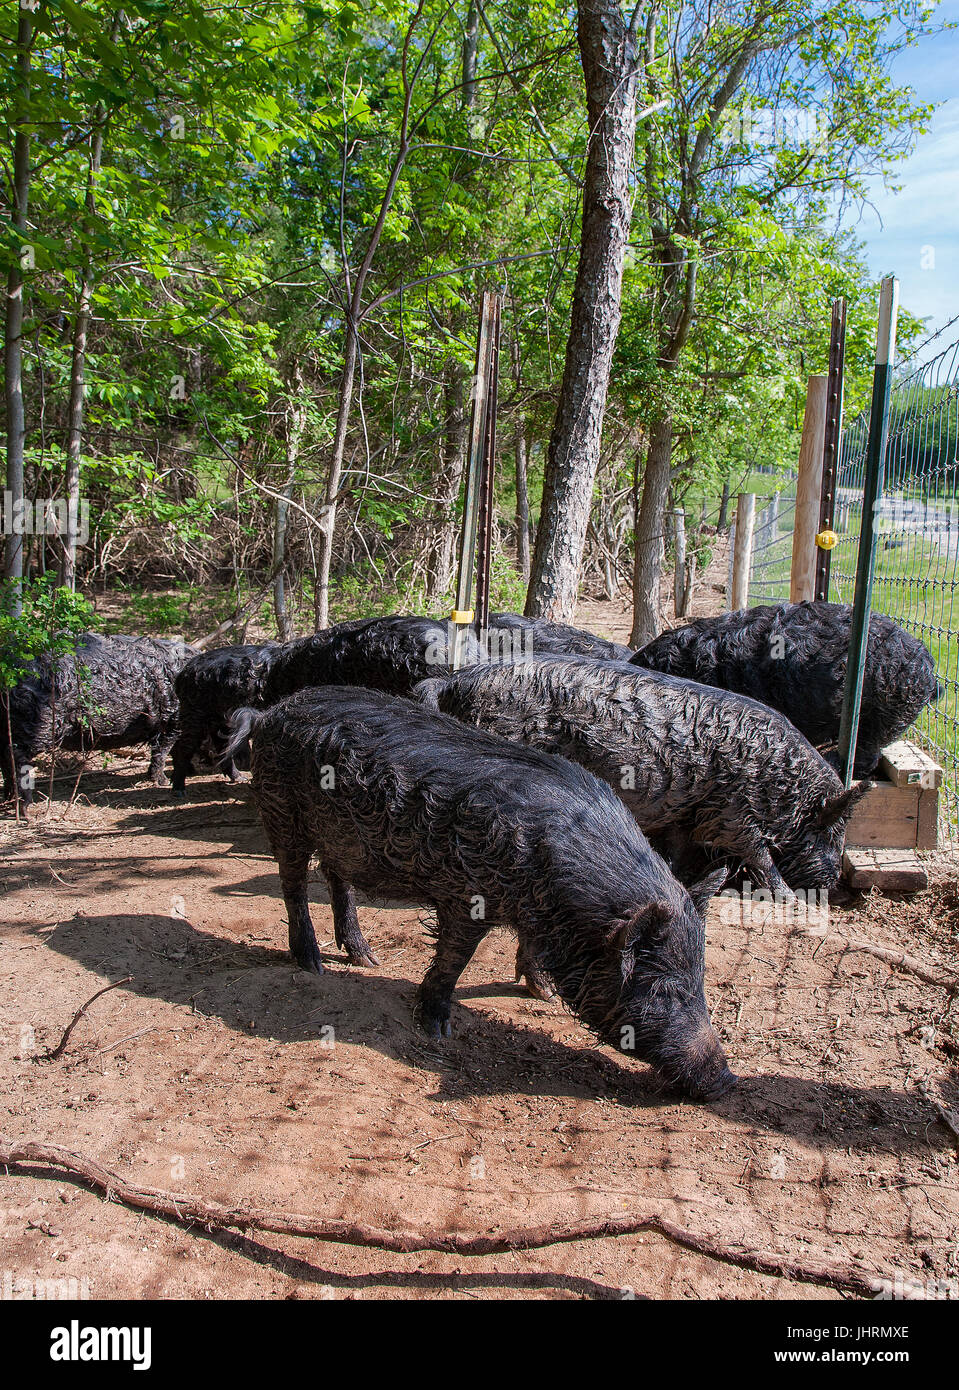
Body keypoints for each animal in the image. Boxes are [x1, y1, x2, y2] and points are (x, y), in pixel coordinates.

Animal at [2, 632, 196, 805]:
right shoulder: (172, 720)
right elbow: (163, 751)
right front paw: (162, 781)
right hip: (37, 726)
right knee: (15, 758)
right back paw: (24, 805)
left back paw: (9, 799)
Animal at [226, 686, 734, 1102]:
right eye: (666, 989)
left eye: (701, 979)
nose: (724, 1080)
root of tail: (267, 713)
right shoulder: (467, 896)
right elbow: (455, 958)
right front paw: (438, 1029)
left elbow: (525, 948)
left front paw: (542, 994)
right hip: (281, 813)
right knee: (294, 886)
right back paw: (312, 964)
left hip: (339, 838)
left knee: (337, 879)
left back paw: (366, 959)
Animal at [414, 656, 866, 897]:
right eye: (830, 832)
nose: (833, 887)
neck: (782, 786)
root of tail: (453, 680)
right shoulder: (733, 814)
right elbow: (760, 855)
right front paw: (790, 899)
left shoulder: (689, 812)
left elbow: (681, 851)